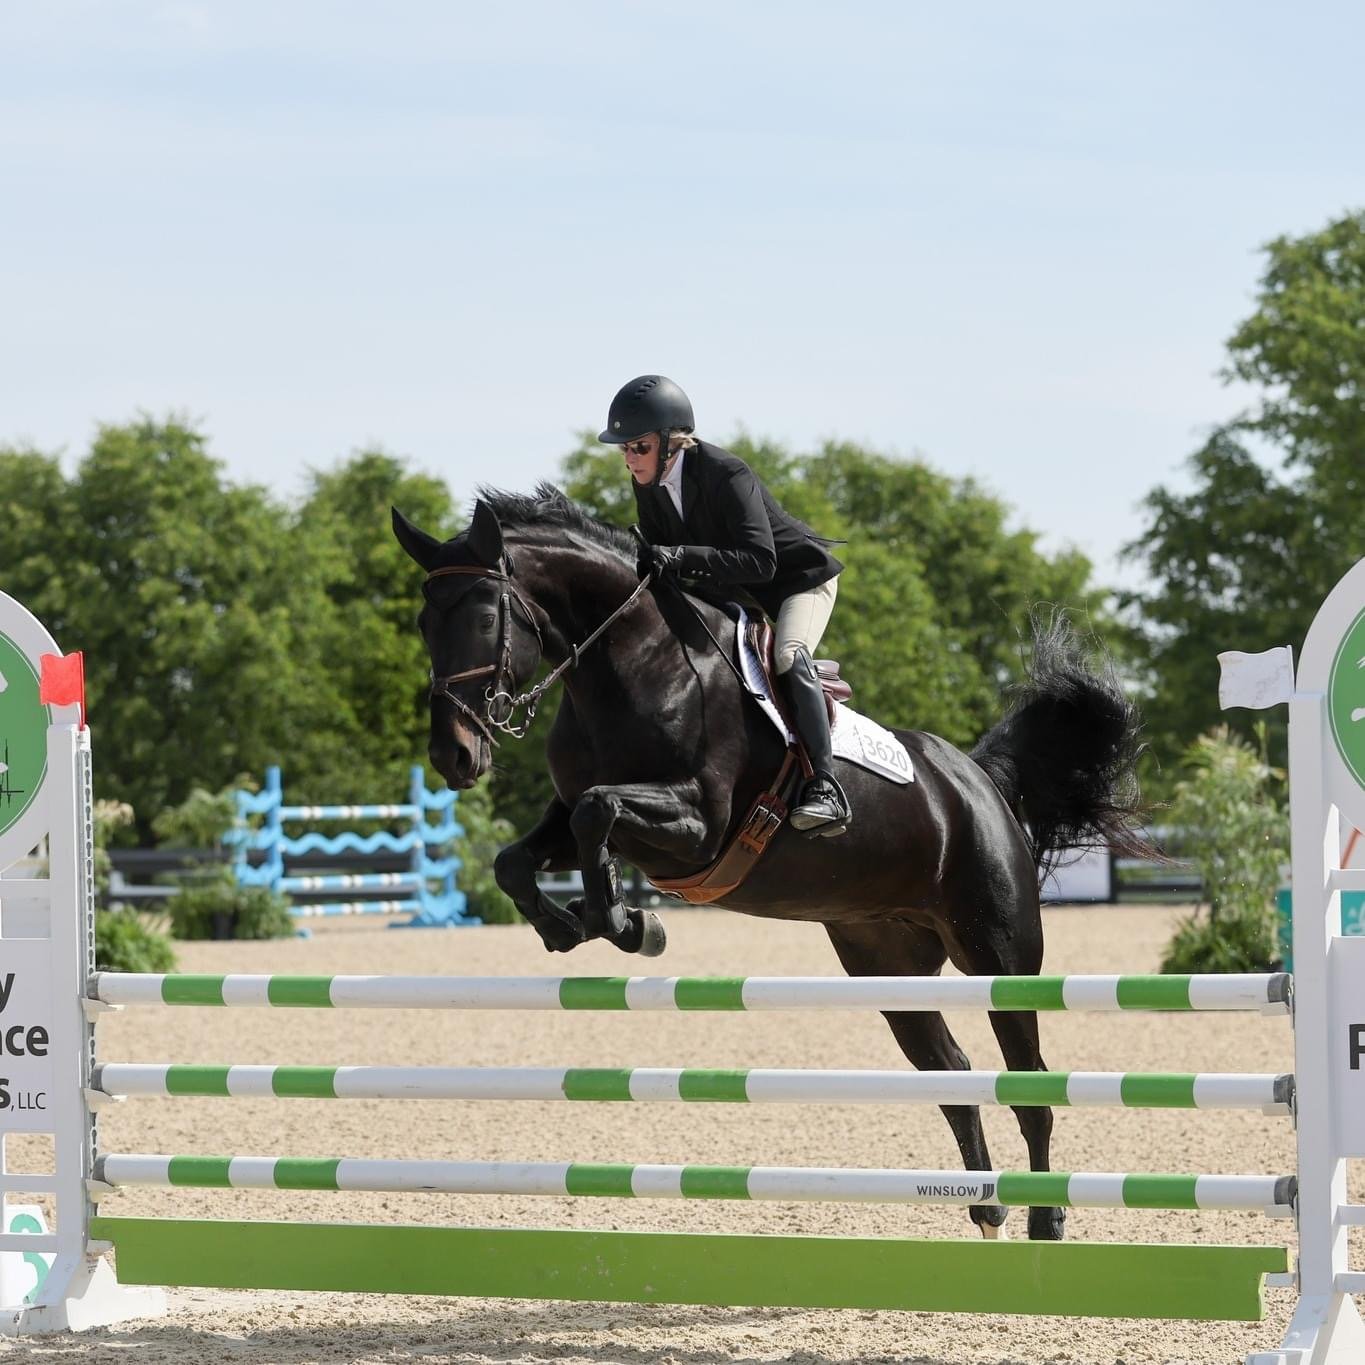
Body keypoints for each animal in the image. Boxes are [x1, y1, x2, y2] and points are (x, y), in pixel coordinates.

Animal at [393, 486, 1148, 1242]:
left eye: (484, 616)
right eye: (424, 622)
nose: (453, 755)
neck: (633, 664)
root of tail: (978, 779)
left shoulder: (699, 823)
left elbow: (596, 817)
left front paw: (625, 922)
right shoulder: (578, 810)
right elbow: (519, 858)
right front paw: (579, 923)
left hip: (998, 953)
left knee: (1029, 1080)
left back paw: (1046, 1220)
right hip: (886, 963)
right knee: (952, 1072)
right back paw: (988, 1210)